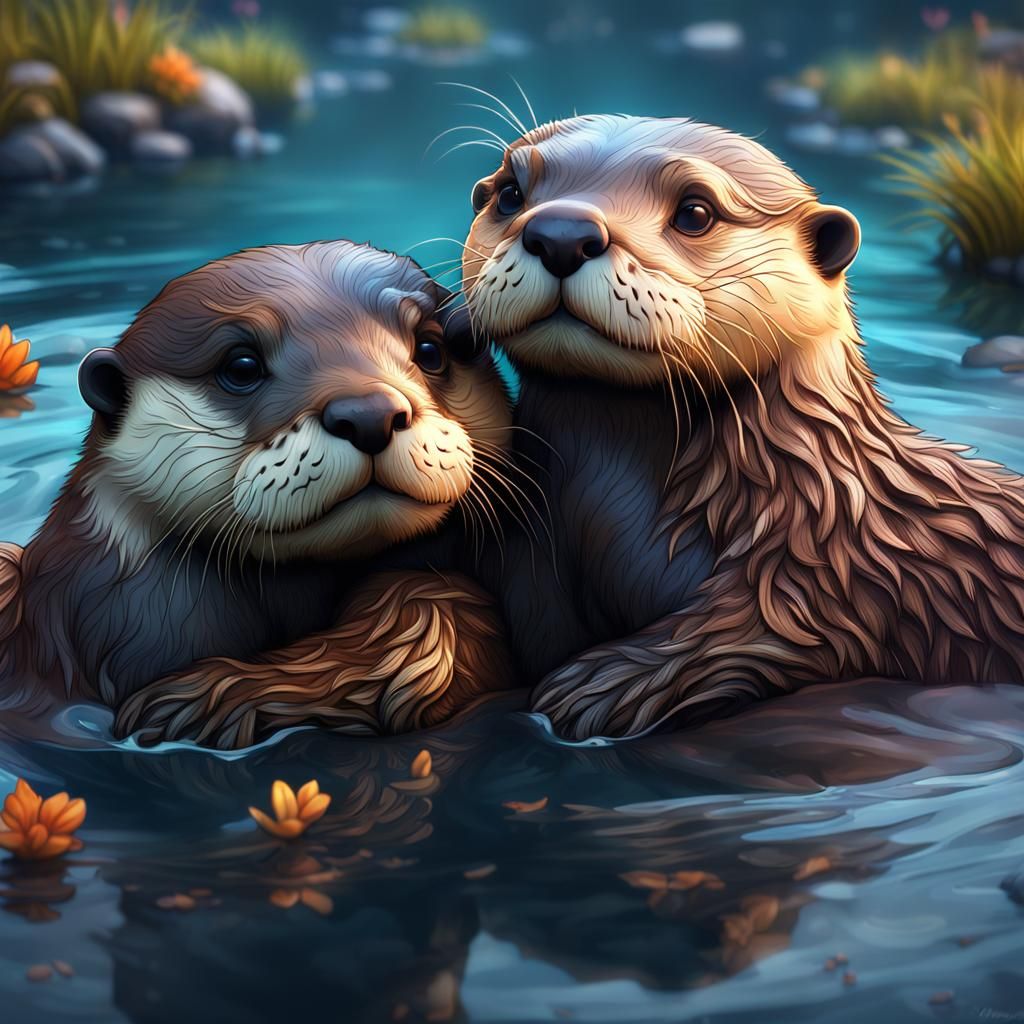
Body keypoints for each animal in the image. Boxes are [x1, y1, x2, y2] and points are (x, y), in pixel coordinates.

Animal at [461, 113, 1024, 740]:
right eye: (512, 193)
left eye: (695, 211)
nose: (561, 233)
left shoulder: (826, 556)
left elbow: (777, 622)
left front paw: (599, 683)